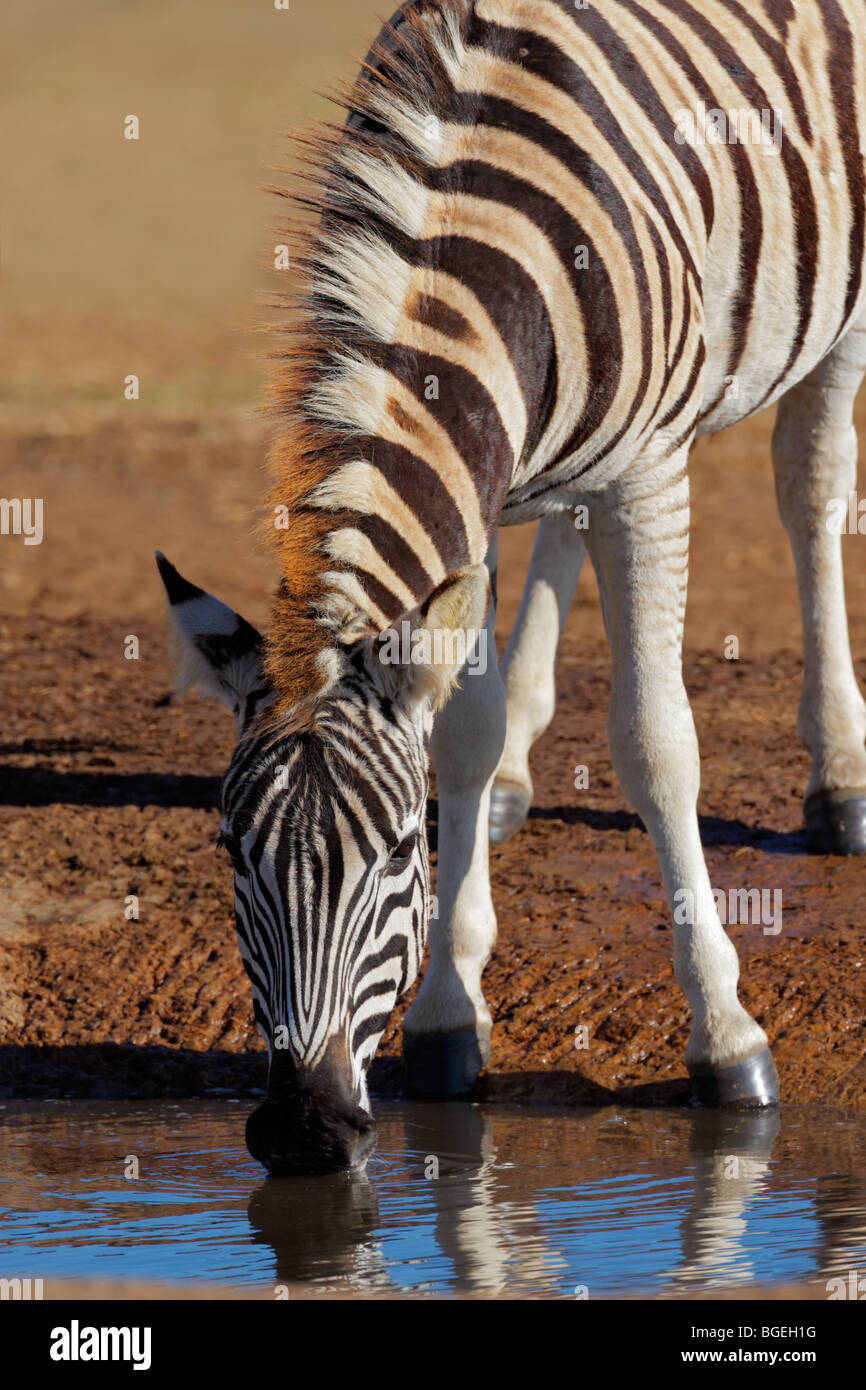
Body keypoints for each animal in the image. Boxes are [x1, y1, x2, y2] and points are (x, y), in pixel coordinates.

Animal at [158, 0, 866, 1173]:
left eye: (400, 847)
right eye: (229, 850)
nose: (303, 1129)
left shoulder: (649, 473)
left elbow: (656, 743)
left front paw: (726, 1041)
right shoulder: (481, 493)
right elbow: (462, 728)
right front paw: (450, 1022)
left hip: (836, 314)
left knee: (811, 486)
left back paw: (840, 776)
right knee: (566, 538)